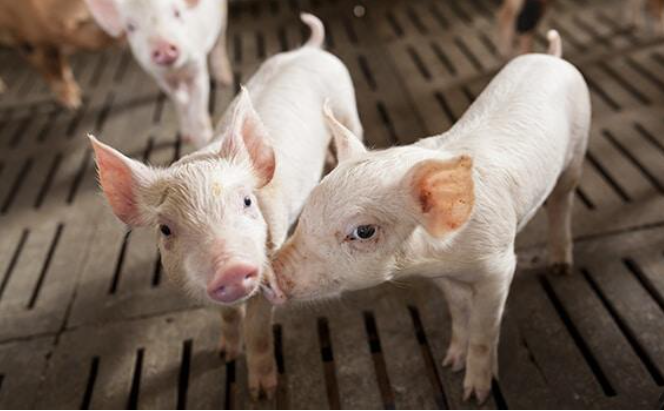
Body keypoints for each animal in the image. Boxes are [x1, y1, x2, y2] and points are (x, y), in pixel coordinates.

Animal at [85, 0, 234, 147]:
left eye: (177, 13)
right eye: (131, 27)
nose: (163, 47)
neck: (176, 71)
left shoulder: (198, 69)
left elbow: (197, 113)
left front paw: (205, 142)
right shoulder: (161, 79)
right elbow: (180, 102)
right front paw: (187, 138)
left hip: (222, 17)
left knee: (219, 44)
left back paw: (225, 80)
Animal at [89, 13, 362, 398]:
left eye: (247, 200)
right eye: (166, 229)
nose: (231, 268)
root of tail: (310, 49)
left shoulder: (267, 259)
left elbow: (258, 329)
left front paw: (262, 393)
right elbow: (229, 316)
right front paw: (224, 355)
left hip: (347, 105)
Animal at [268, 31, 590, 403]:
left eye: (364, 231)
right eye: (309, 207)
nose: (269, 275)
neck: (444, 259)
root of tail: (552, 56)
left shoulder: (499, 265)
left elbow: (484, 331)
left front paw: (475, 394)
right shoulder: (443, 277)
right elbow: (460, 312)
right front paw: (451, 361)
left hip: (577, 150)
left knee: (562, 200)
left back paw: (561, 266)